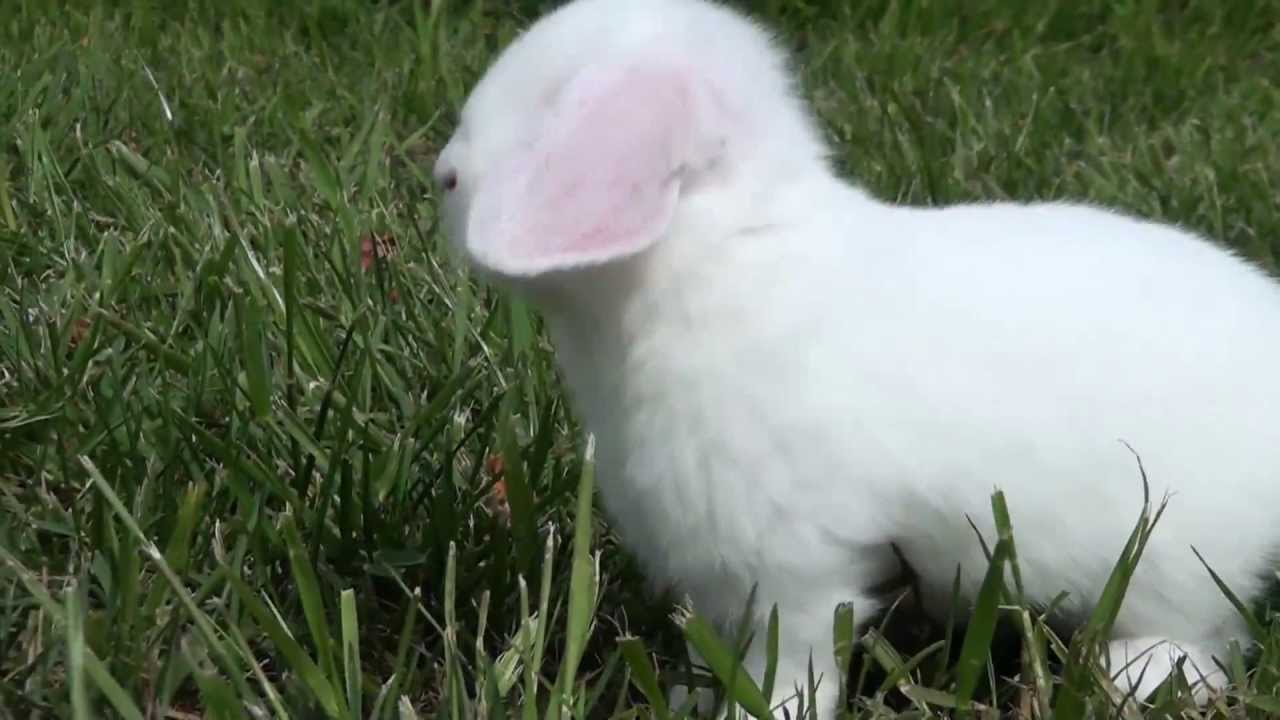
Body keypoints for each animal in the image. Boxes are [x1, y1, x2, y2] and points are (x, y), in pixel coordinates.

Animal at [432, 0, 1280, 715]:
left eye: (547, 105)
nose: (443, 175)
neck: (719, 259)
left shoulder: (794, 566)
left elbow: (790, 662)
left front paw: (759, 710)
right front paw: (689, 696)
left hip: (1177, 560)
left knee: (1205, 636)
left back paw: (1134, 675)